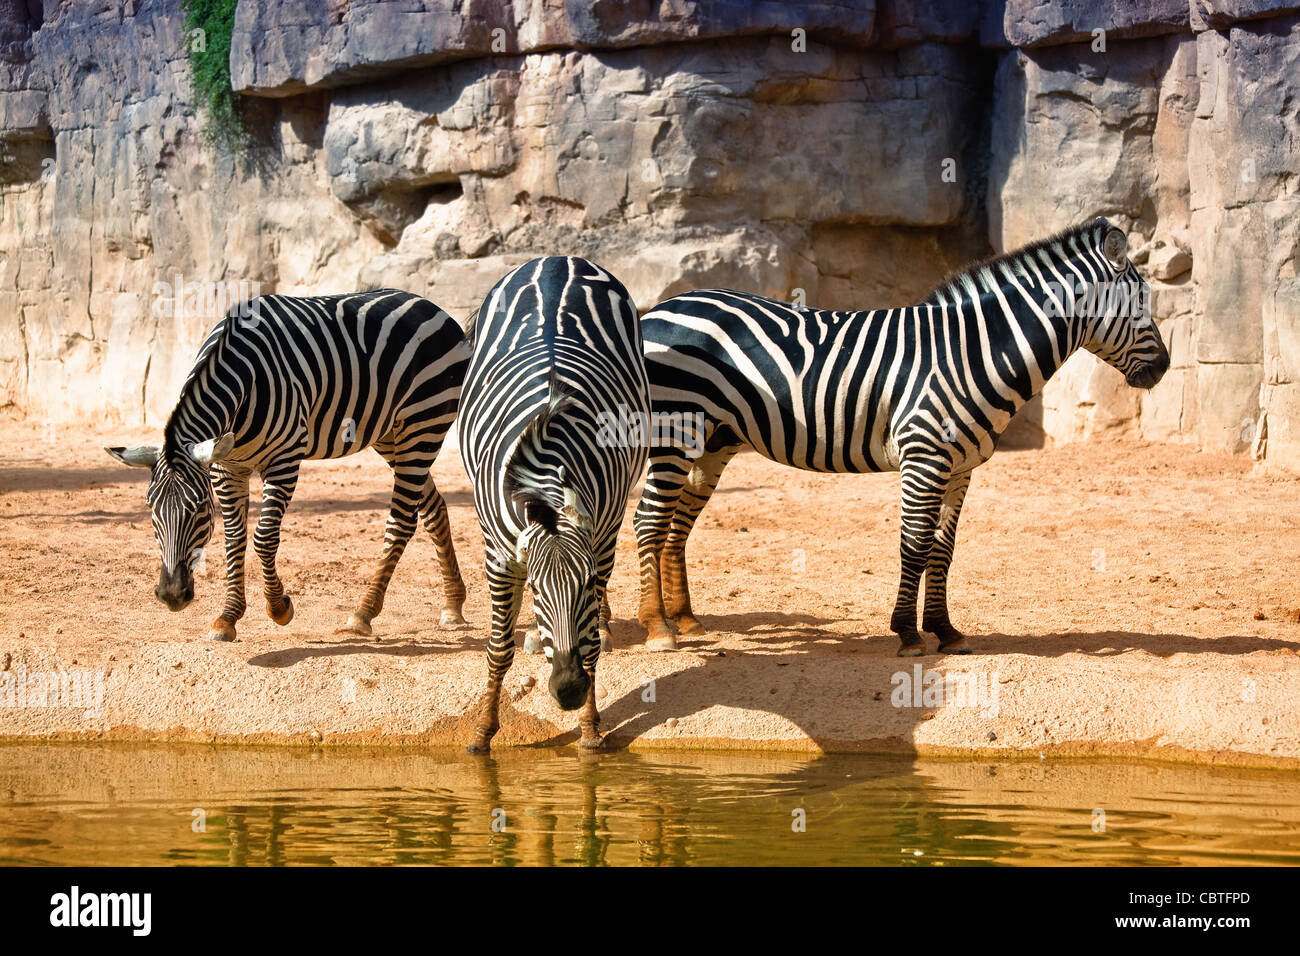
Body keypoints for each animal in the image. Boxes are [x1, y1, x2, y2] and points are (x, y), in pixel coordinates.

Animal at [105, 289, 471, 642]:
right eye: (150, 509)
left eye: (199, 511)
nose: (172, 596)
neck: (242, 379)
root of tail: (434, 307)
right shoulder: (226, 468)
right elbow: (234, 537)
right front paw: (227, 617)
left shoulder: (283, 459)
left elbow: (264, 537)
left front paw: (278, 607)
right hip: (391, 437)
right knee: (433, 507)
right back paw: (453, 606)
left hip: (422, 426)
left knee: (401, 521)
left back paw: (362, 613)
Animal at [459, 256, 650, 752]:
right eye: (536, 591)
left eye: (585, 586)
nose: (567, 691)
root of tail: (556, 260)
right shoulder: (498, 552)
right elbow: (498, 647)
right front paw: (482, 732)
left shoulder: (602, 538)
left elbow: (591, 643)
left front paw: (590, 728)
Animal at [630, 218, 1170, 656]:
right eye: (1142, 305)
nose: (1164, 369)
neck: (974, 351)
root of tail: (657, 309)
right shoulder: (925, 456)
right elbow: (914, 544)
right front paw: (908, 633)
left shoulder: (962, 466)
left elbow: (943, 550)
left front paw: (946, 631)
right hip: (673, 429)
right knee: (648, 520)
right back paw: (658, 629)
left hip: (712, 440)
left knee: (678, 524)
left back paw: (686, 619)